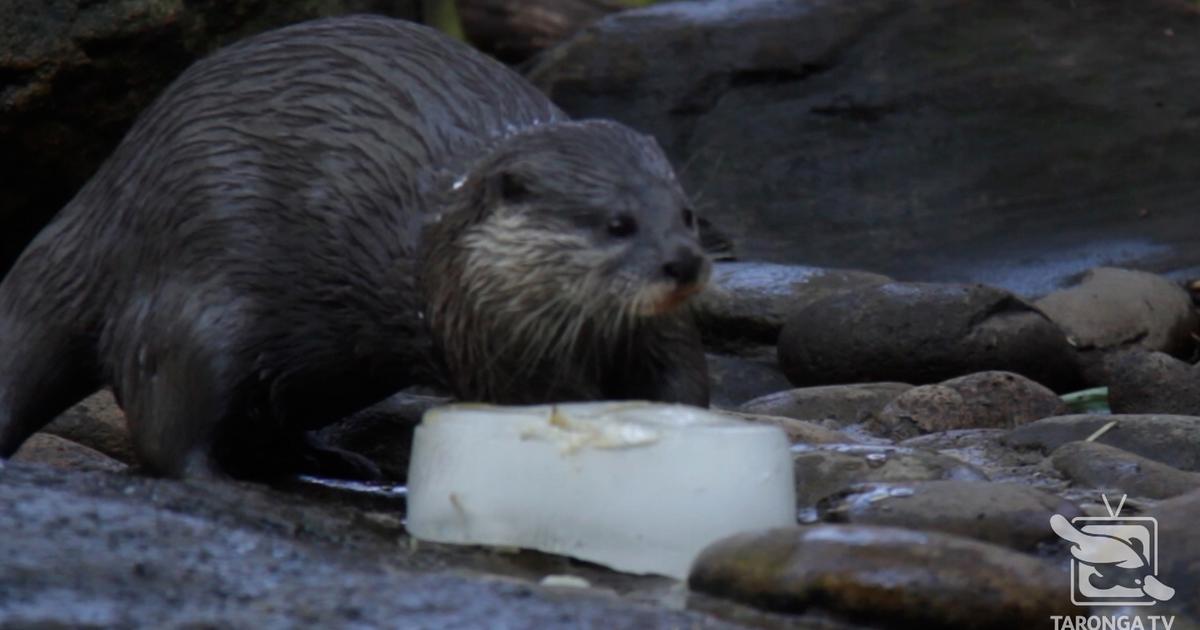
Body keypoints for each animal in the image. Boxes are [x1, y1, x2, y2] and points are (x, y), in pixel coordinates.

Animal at [0, 16, 711, 479]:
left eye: (686, 214)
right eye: (618, 224)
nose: (682, 263)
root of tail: (115, 190)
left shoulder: (661, 336)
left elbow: (683, 384)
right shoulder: (485, 330)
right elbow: (530, 399)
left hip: (328, 368)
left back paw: (327, 460)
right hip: (201, 293)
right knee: (164, 422)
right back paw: (225, 482)